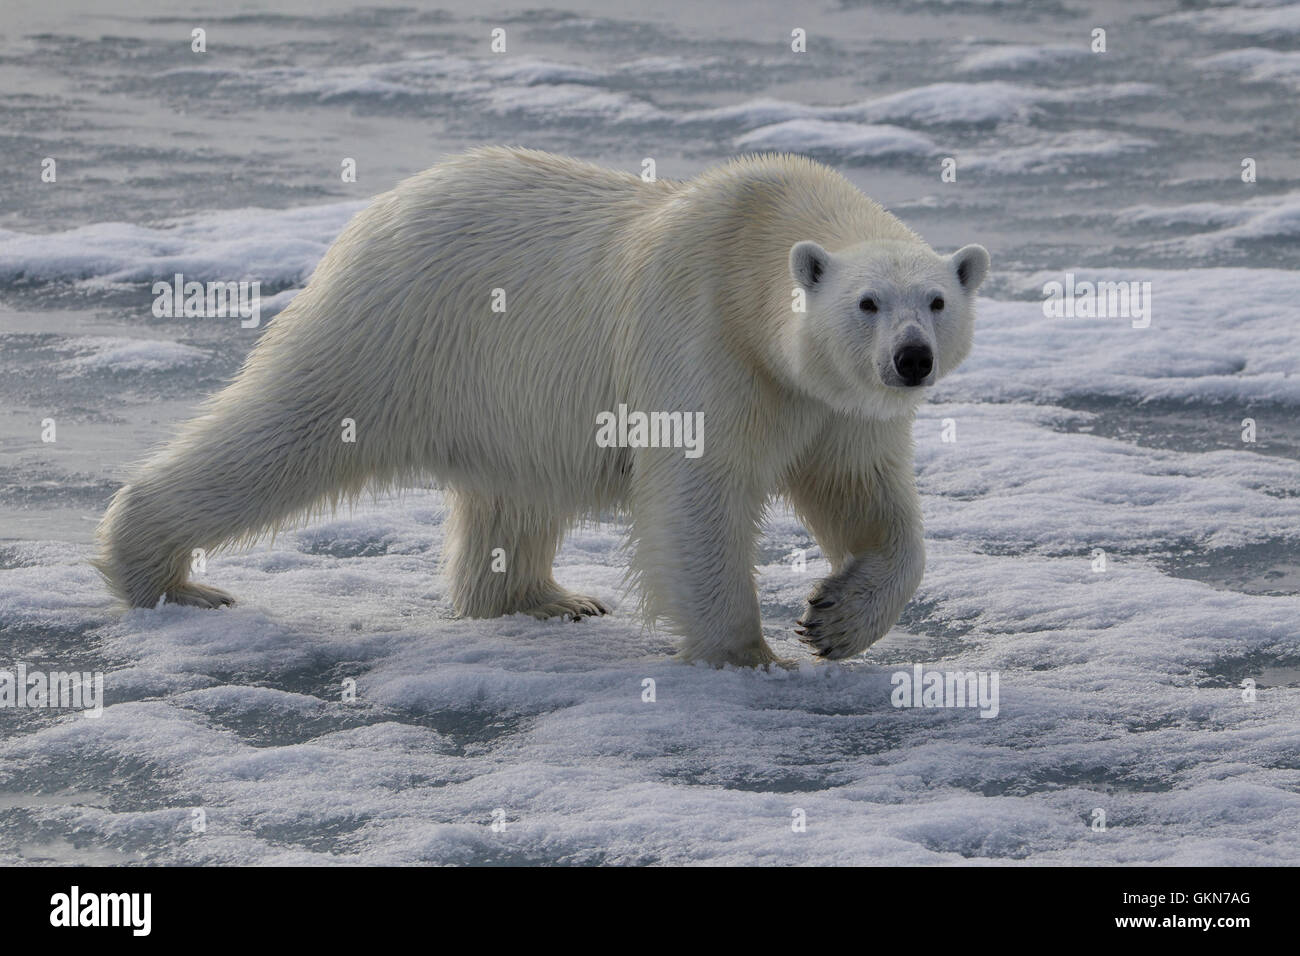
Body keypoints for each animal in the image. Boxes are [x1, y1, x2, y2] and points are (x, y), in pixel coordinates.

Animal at [94, 147, 988, 668]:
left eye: (937, 300)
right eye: (867, 303)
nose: (911, 359)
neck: (758, 239)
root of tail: (382, 208)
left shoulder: (836, 404)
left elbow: (863, 497)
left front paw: (834, 618)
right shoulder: (704, 337)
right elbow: (697, 494)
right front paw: (752, 653)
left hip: (501, 391)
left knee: (515, 494)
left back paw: (547, 597)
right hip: (395, 330)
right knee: (281, 432)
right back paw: (164, 574)